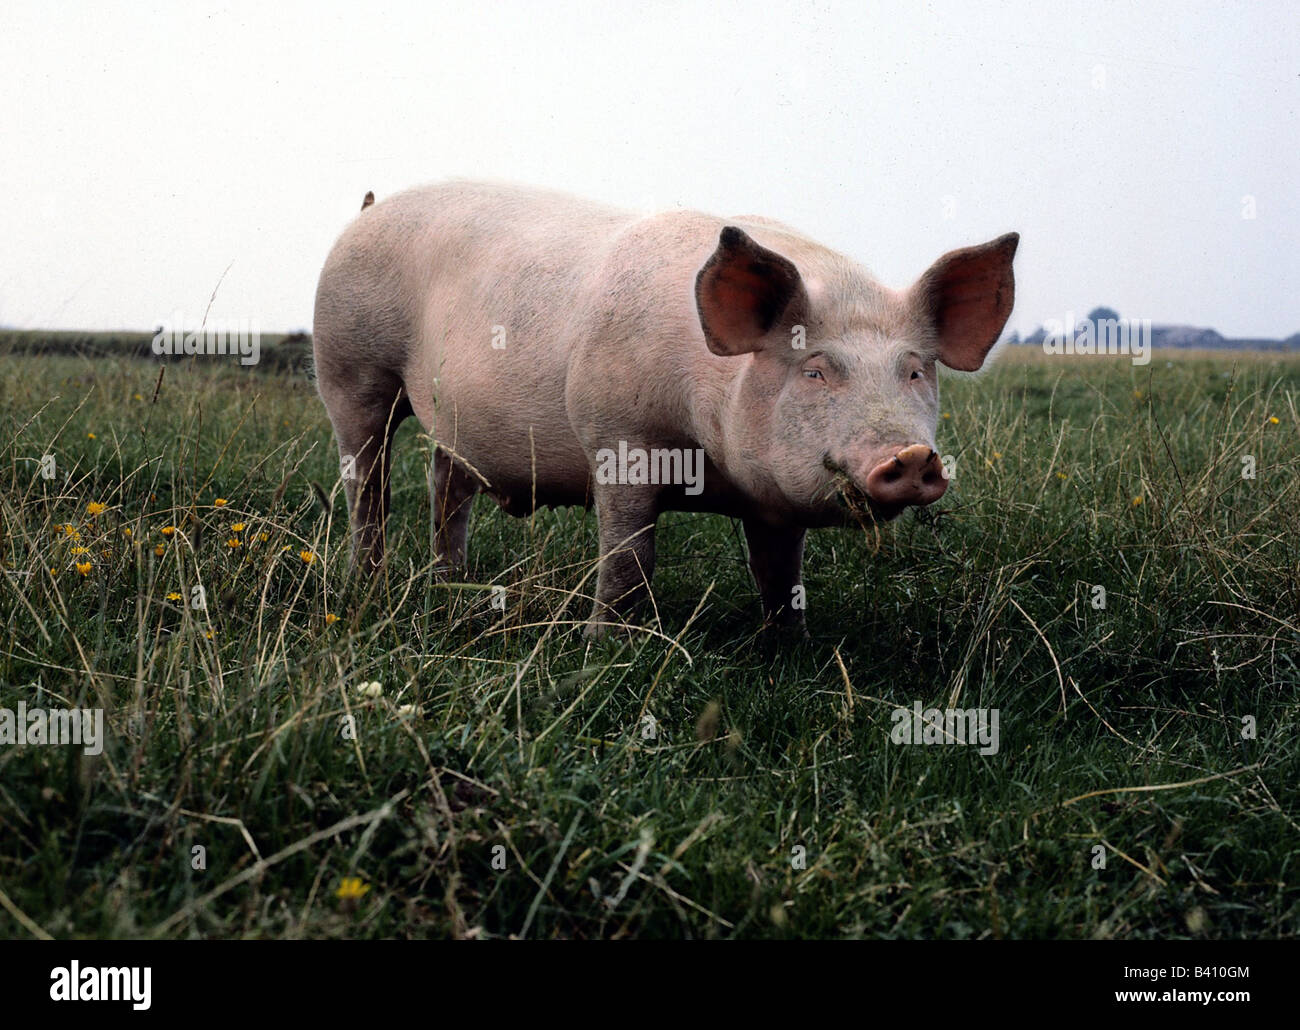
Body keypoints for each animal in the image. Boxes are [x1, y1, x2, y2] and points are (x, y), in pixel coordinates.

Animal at [312, 181, 1018, 635]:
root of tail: (365, 213)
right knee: (367, 482)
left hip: (456, 422)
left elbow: (780, 572)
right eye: (815, 370)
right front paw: (604, 643)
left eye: (914, 371)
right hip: (349, 368)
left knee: (444, 482)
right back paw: (366, 584)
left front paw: (790, 645)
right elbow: (629, 554)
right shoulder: (615, 434)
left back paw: (450, 583)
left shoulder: (773, 498)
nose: (913, 454)